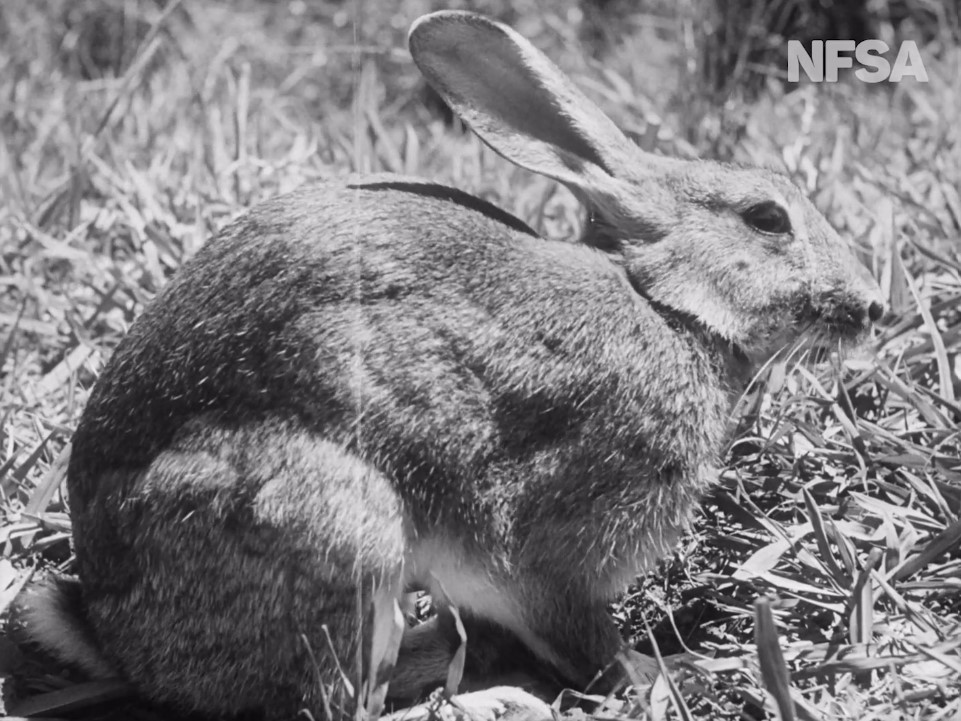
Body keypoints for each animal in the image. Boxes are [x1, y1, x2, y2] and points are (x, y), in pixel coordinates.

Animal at [18, 9, 885, 721]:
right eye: (766, 217)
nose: (871, 304)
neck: (662, 304)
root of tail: (119, 633)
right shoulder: (552, 543)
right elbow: (581, 634)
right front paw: (659, 672)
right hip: (339, 527)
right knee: (322, 699)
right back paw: (495, 699)